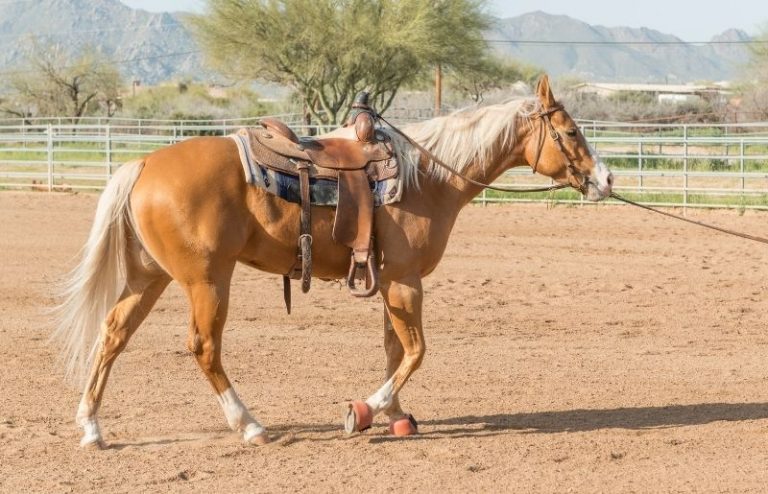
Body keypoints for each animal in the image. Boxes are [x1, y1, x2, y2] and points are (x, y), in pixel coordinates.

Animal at [53, 75, 613, 448]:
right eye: (570, 132)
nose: (606, 180)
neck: (426, 177)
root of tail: (144, 163)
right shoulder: (405, 281)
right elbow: (416, 351)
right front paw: (363, 411)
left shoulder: (391, 281)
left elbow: (394, 348)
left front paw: (397, 415)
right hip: (206, 280)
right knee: (204, 348)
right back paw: (250, 425)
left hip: (149, 277)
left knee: (113, 335)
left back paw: (92, 428)